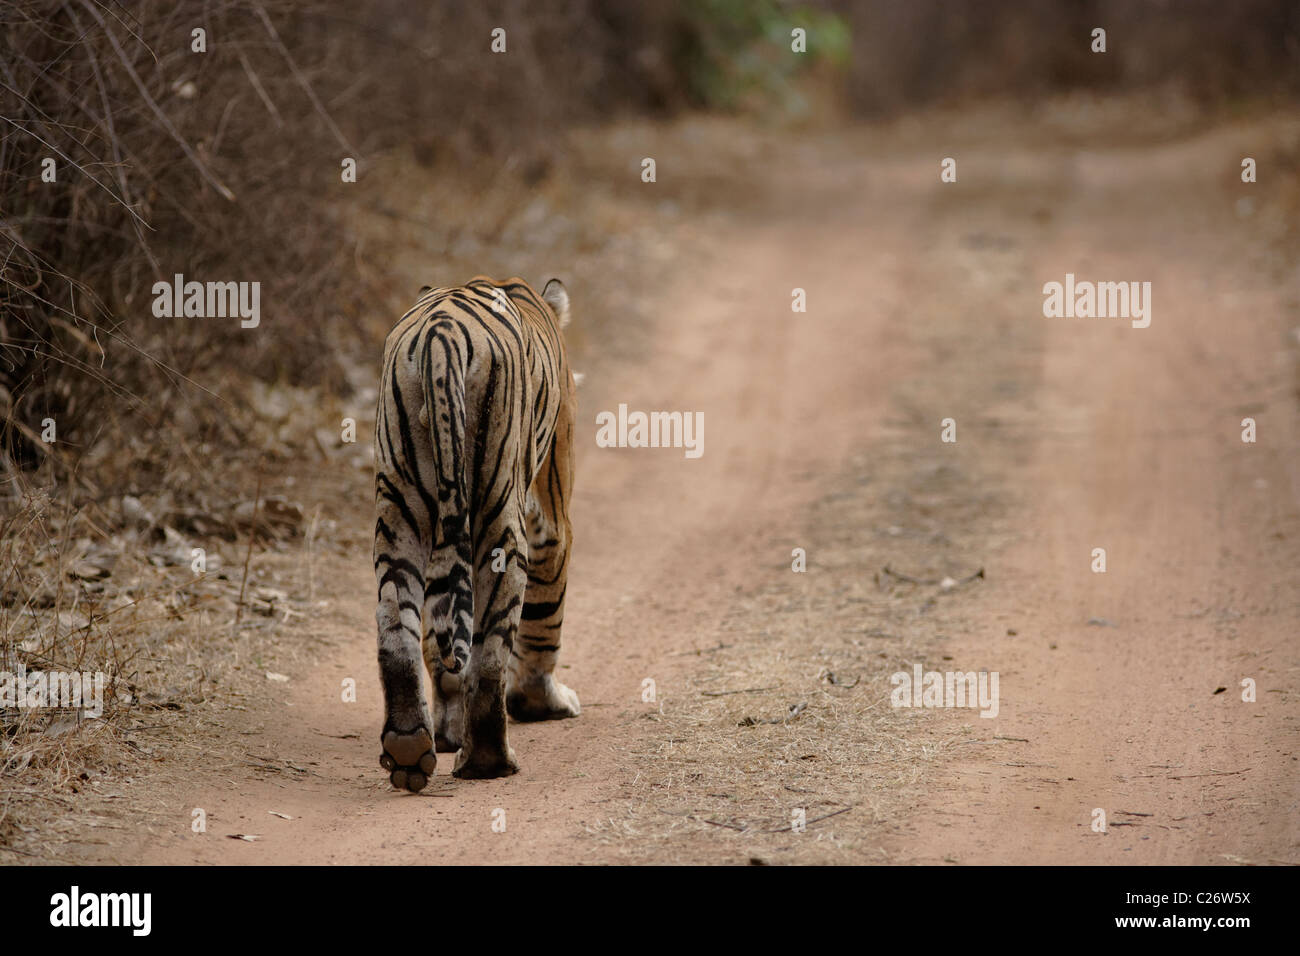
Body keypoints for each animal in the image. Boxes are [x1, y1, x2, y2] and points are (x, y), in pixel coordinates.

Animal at [373, 276, 580, 791]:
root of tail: (440, 330)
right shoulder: (551, 517)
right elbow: (545, 620)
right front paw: (543, 703)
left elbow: (438, 638)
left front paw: (447, 729)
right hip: (500, 515)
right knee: (490, 652)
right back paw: (488, 760)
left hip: (400, 512)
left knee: (398, 629)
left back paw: (410, 746)